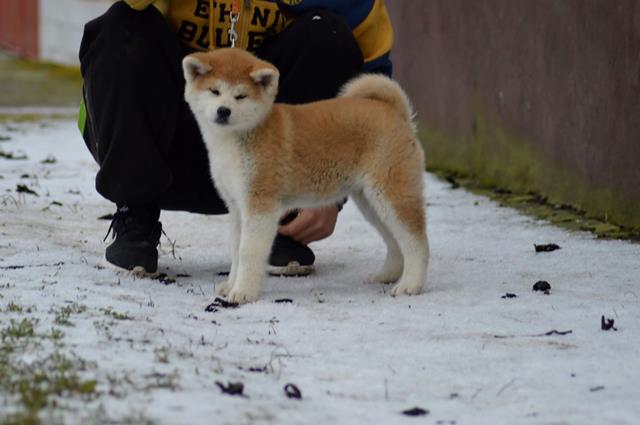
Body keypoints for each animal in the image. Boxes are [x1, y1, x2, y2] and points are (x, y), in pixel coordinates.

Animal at [182, 48, 428, 304]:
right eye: (214, 91)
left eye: (240, 96)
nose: (223, 110)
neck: (239, 137)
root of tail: (395, 112)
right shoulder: (237, 205)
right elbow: (235, 250)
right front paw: (230, 285)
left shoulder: (261, 204)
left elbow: (247, 252)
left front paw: (242, 292)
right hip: (371, 202)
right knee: (394, 241)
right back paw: (387, 275)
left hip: (391, 193)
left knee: (416, 241)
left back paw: (410, 284)